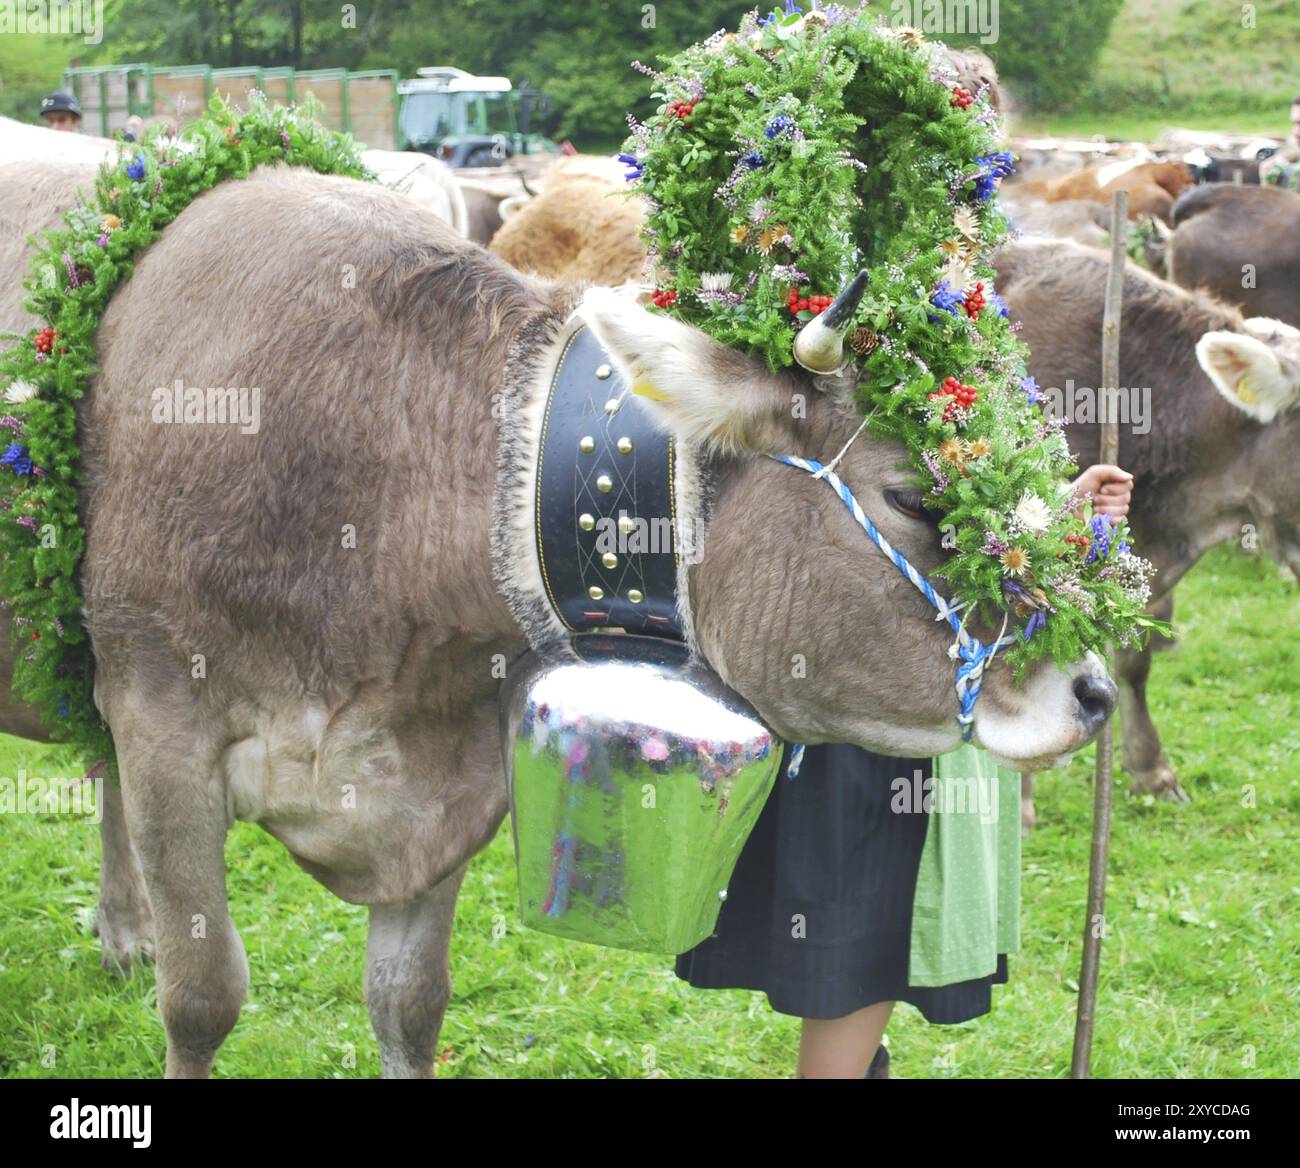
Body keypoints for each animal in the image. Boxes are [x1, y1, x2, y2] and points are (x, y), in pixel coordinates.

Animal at [0, 158, 1116, 1076]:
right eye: (917, 499)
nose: (1092, 688)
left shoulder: (448, 782)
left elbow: (410, 1003)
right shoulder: (167, 731)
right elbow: (202, 998)